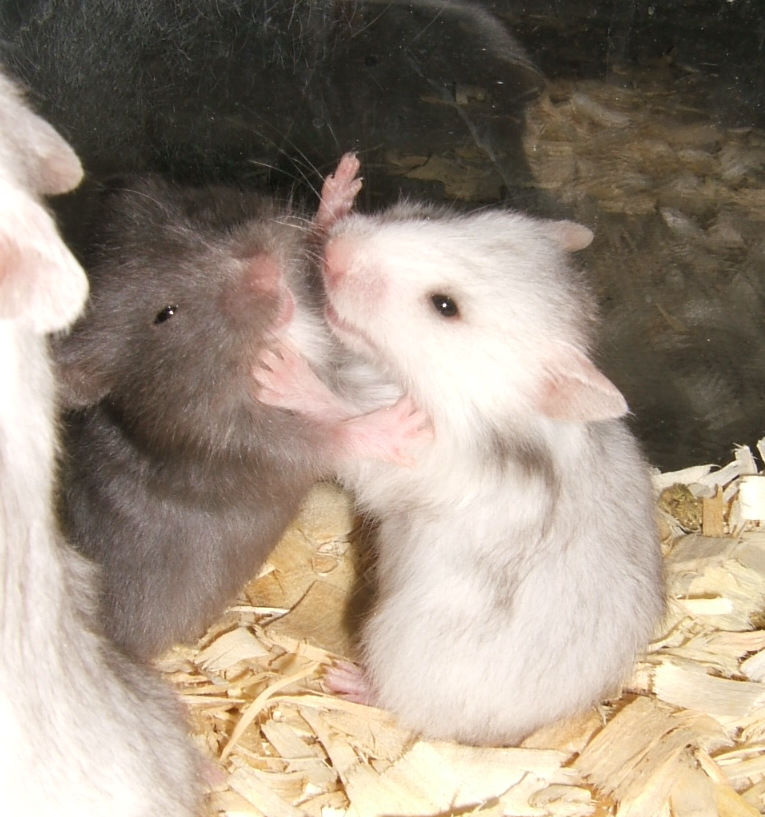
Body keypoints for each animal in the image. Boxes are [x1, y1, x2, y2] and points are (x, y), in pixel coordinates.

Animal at [52, 170, 429, 661]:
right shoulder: (241, 446)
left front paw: (344, 181)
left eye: (202, 217)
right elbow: (327, 437)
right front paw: (405, 424)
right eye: (165, 314)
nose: (266, 269)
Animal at [256, 155, 665, 746]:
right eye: (426, 215)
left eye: (445, 306)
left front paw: (278, 370)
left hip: (393, 640)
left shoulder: (406, 464)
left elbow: (345, 423)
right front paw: (342, 187)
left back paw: (345, 679)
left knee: (400, 704)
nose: (337, 253)